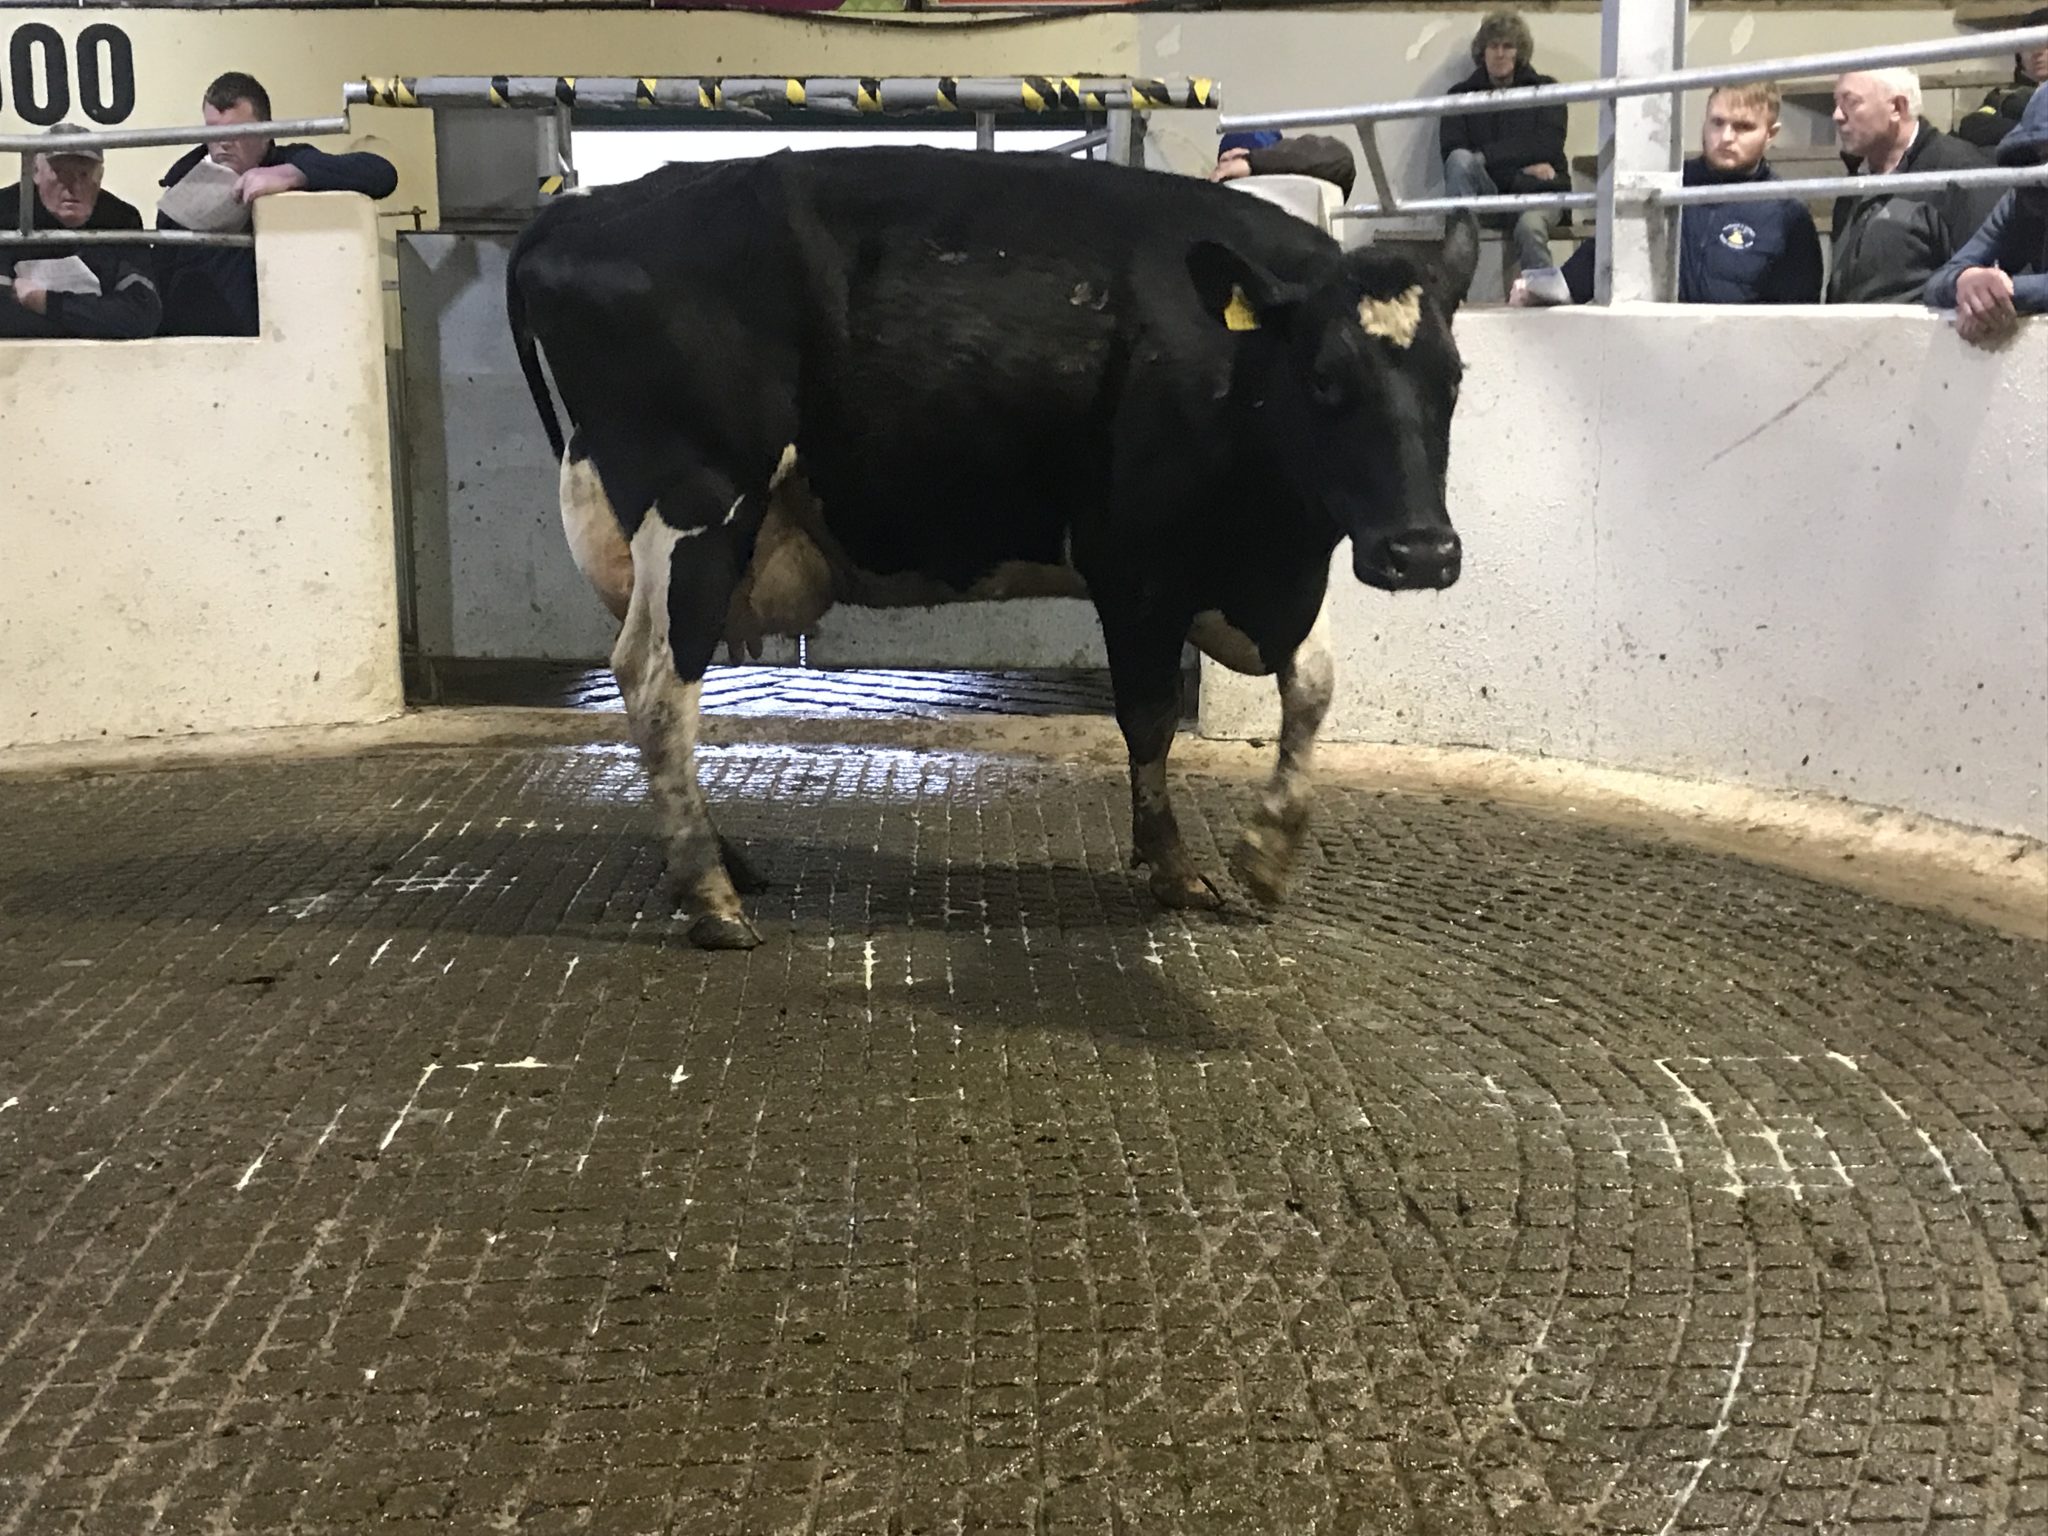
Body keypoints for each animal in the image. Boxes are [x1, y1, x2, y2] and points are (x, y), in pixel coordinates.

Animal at [507, 146, 1478, 949]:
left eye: (1455, 378)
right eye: (1325, 379)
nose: (1422, 553)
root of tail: (591, 205)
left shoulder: (1268, 573)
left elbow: (1313, 686)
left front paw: (1269, 852)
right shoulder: (1137, 569)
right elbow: (1149, 716)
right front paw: (1176, 866)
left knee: (650, 681)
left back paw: (721, 860)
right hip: (700, 503)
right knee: (658, 681)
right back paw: (711, 895)